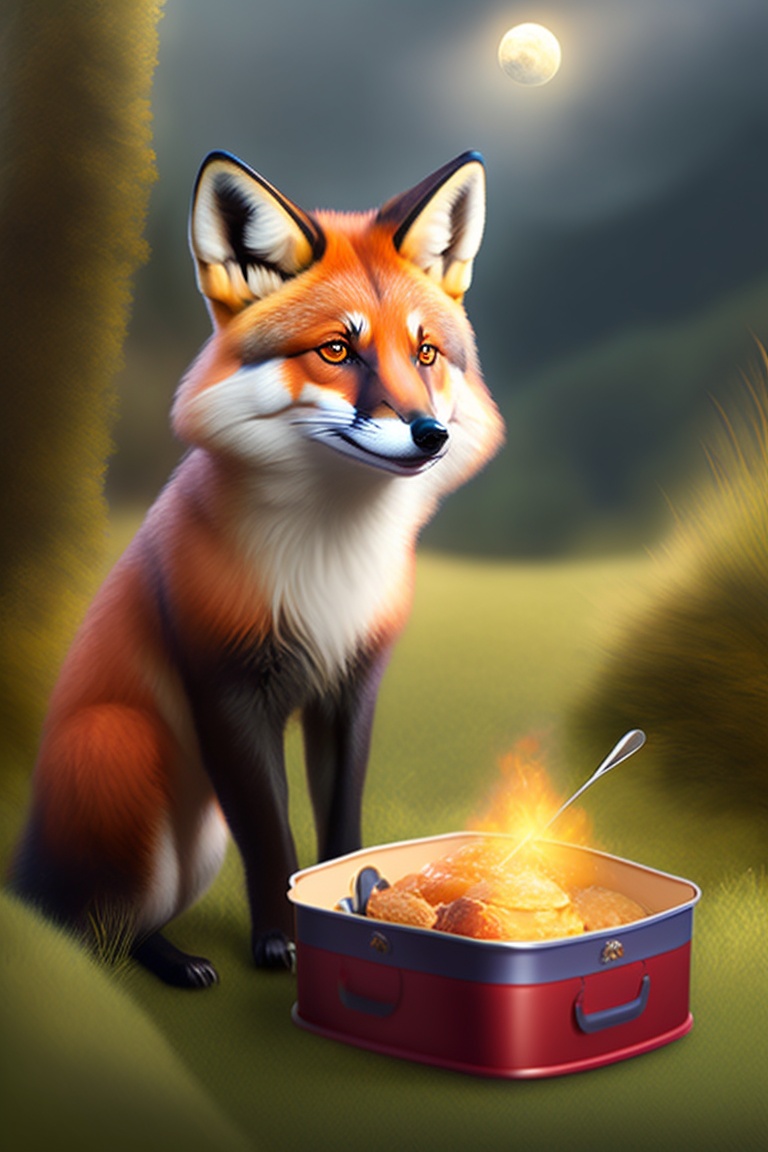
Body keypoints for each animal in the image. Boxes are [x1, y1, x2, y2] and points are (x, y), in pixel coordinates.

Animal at [8, 150, 504, 987]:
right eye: (337, 350)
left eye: (426, 353)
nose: (430, 434)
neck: (330, 559)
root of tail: (23, 866)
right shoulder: (227, 688)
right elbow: (273, 838)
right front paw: (283, 940)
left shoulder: (350, 686)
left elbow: (341, 829)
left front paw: (358, 912)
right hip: (126, 749)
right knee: (97, 929)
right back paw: (173, 961)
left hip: (196, 838)